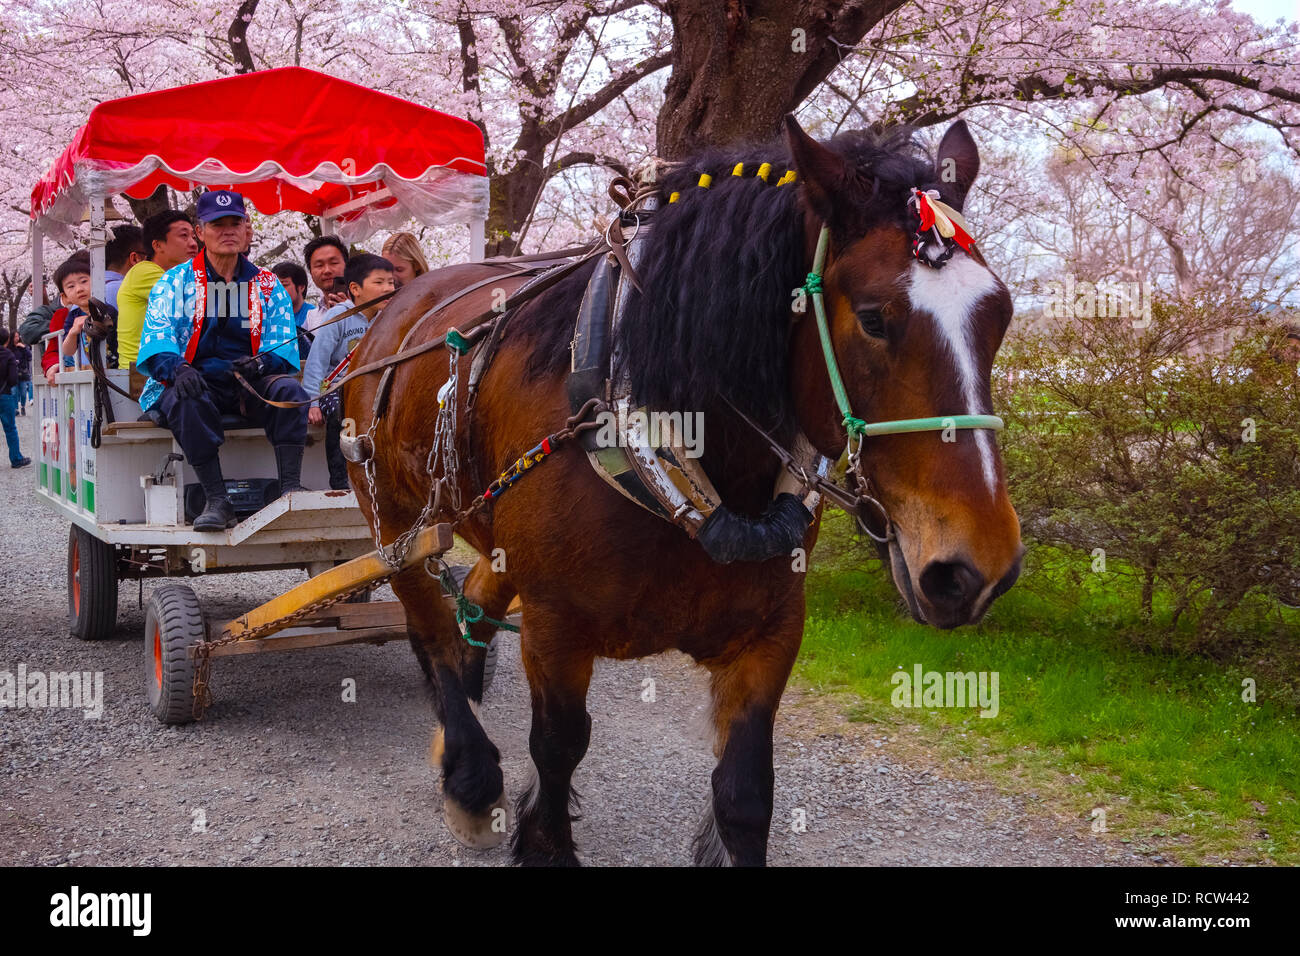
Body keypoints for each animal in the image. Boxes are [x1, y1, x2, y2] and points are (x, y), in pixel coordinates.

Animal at [344, 115, 1024, 866]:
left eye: (1000, 315)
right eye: (874, 318)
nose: (979, 567)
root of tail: (397, 305)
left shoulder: (772, 629)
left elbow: (745, 794)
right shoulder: (555, 627)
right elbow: (557, 753)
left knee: (472, 600)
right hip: (392, 517)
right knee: (429, 627)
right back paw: (467, 772)